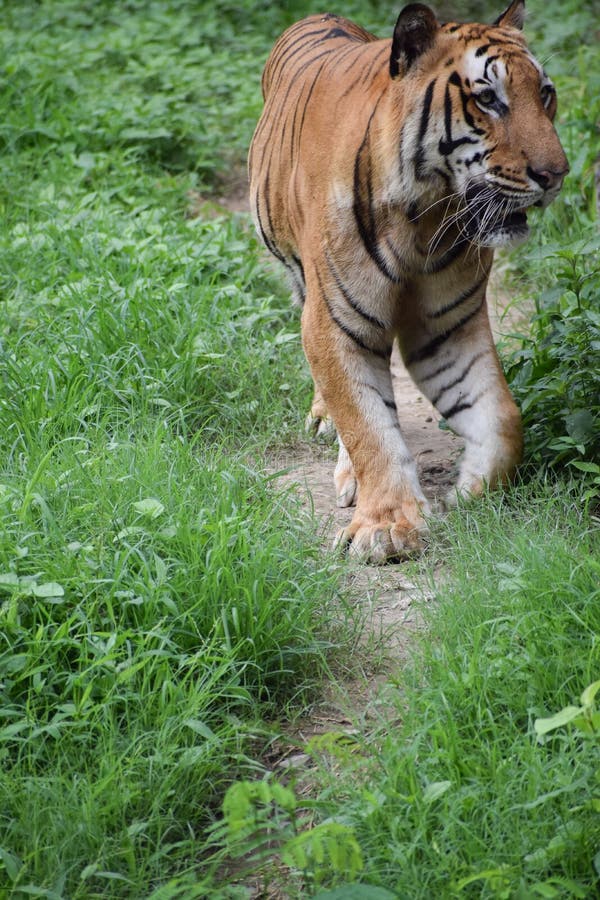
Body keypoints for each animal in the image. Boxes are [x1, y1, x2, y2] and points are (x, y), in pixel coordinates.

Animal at [248, 1, 568, 563]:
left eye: (545, 94)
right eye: (488, 98)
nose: (557, 175)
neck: (428, 213)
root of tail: (321, 15)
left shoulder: (447, 327)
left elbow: (502, 419)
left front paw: (470, 492)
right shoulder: (336, 323)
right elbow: (367, 427)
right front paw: (386, 528)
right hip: (298, 276)